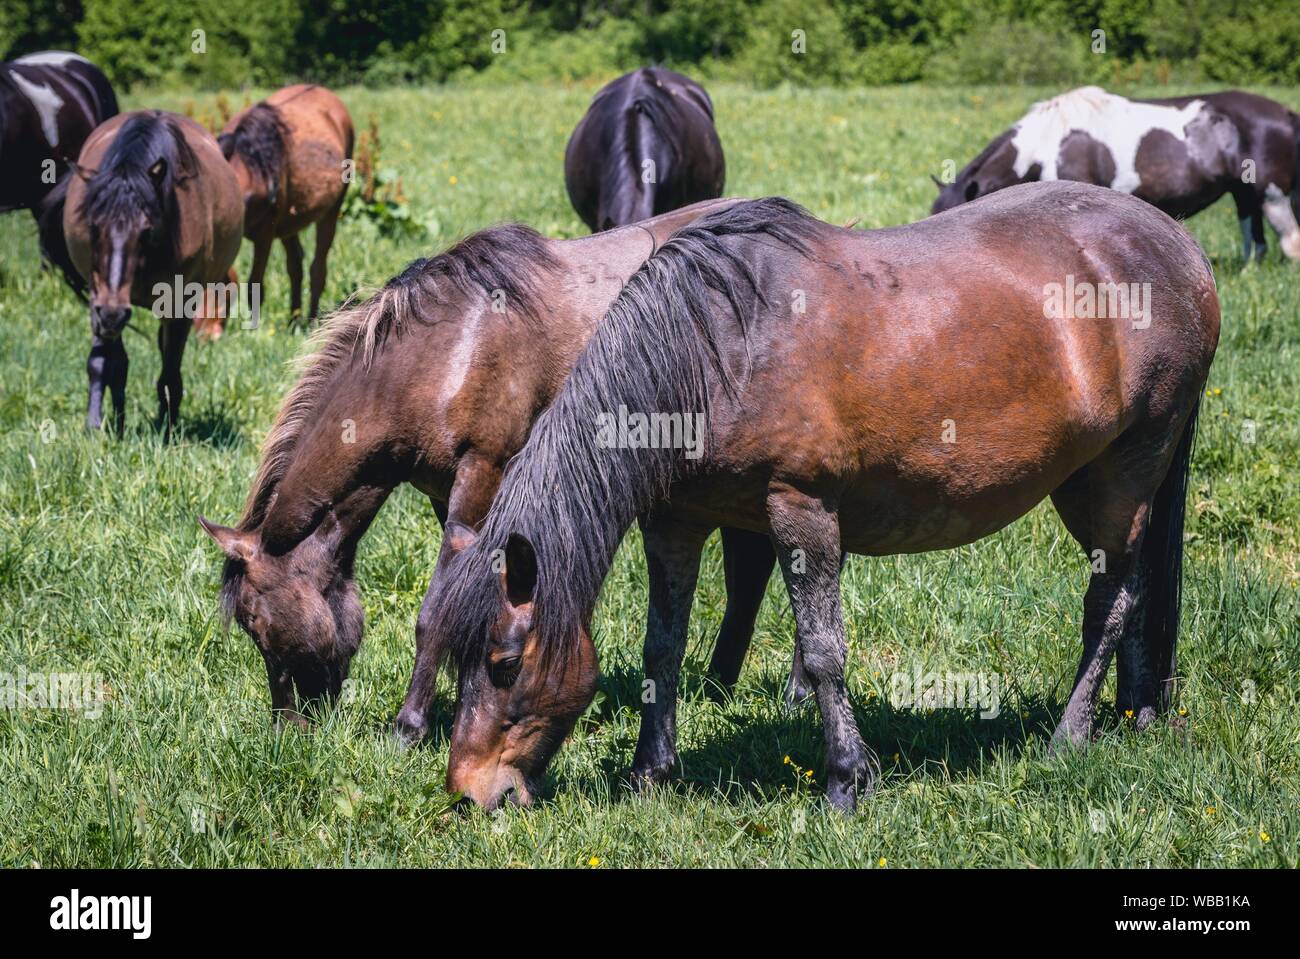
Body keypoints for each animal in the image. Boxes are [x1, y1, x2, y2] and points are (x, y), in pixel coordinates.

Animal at [63, 111, 244, 433]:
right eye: (93, 226)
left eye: (146, 230)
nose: (113, 312)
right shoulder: (99, 295)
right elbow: (103, 363)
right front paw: (96, 425)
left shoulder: (180, 302)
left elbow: (170, 371)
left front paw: (168, 429)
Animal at [196, 199, 780, 734]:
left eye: (255, 623)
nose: (288, 728)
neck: (447, 352)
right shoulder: (443, 492)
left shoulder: (482, 471)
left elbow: (437, 606)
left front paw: (411, 725)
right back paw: (719, 685)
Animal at [217, 84, 354, 336]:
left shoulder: (265, 233)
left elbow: (255, 284)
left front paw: (254, 331)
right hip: (290, 222)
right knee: (296, 266)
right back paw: (294, 320)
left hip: (332, 209)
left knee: (317, 268)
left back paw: (311, 319)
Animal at [416, 185, 1220, 812]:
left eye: (506, 662)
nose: (471, 792)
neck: (715, 348)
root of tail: (1182, 245)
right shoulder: (675, 521)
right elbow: (662, 644)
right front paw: (651, 772)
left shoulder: (800, 507)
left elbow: (824, 649)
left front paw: (845, 780)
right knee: (1137, 594)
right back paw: (1138, 713)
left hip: (1122, 474)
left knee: (1112, 600)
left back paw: (1068, 737)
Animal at [931, 86, 1300, 262]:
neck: (1048, 140)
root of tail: (1285, 113)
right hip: (1245, 192)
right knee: (1255, 243)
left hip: (1273, 195)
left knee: (1290, 242)